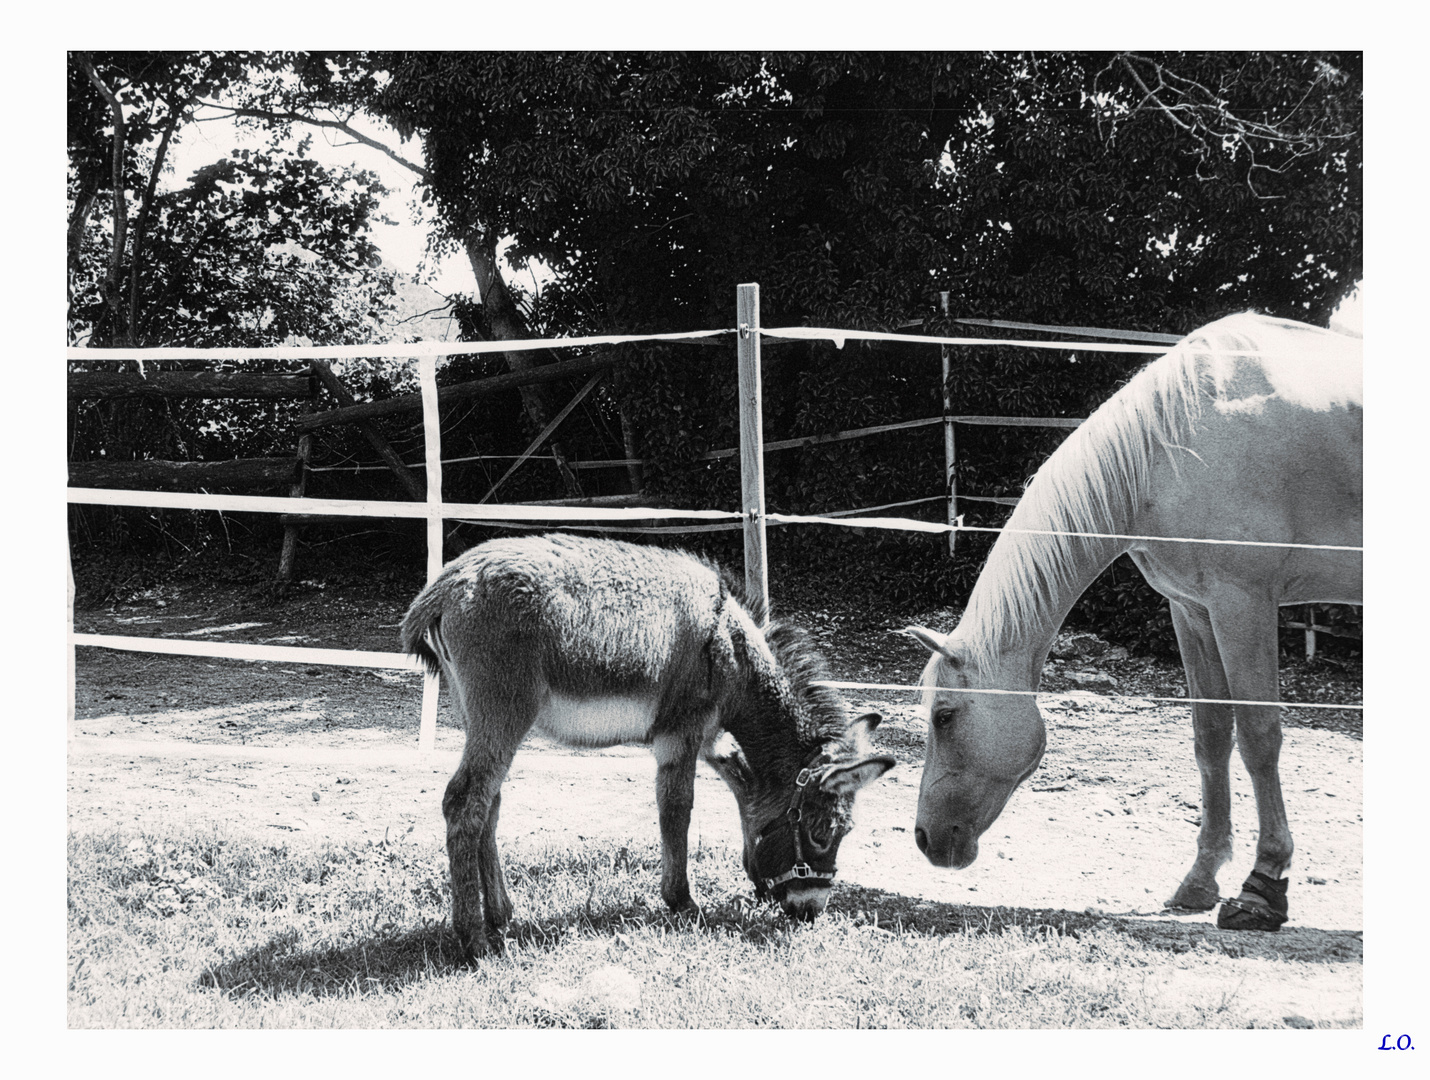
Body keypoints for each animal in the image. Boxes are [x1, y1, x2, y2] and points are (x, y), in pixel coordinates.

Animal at [401, 532, 895, 959]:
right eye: (821, 832)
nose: (810, 913)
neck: (734, 649)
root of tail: (443, 588)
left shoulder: (710, 736)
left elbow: (745, 785)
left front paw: (755, 875)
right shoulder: (683, 732)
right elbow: (678, 808)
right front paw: (683, 902)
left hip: (476, 715)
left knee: (490, 801)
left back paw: (500, 916)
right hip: (504, 711)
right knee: (464, 800)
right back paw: (474, 940)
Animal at [906, 312, 1361, 931]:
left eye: (945, 716)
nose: (925, 839)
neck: (1175, 442)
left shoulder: (1242, 603)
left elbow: (1259, 737)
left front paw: (1263, 888)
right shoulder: (1194, 610)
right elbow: (1211, 737)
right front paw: (1200, 880)